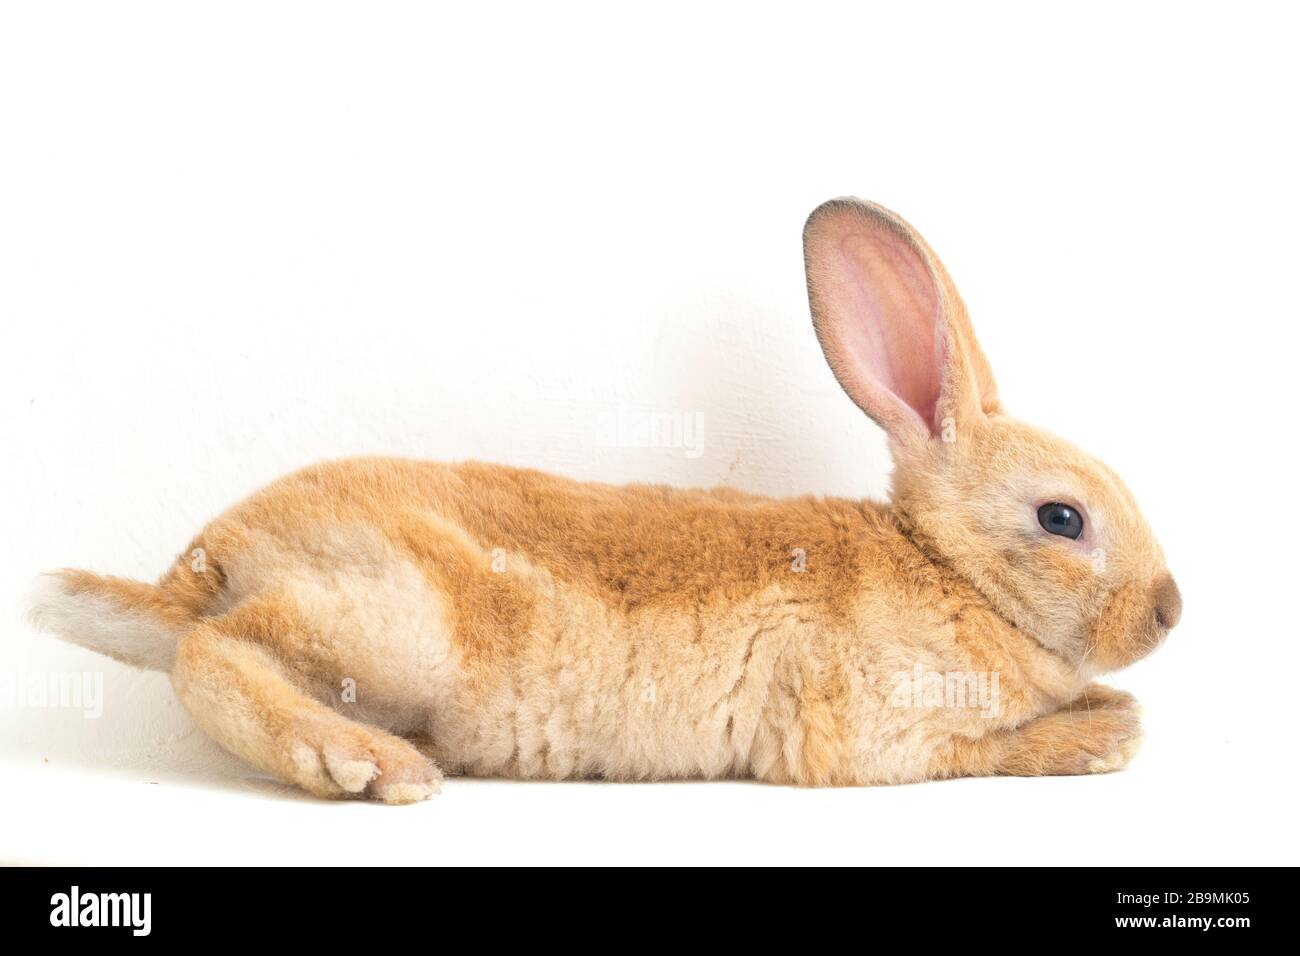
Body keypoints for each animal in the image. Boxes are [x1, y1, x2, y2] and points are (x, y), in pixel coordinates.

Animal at [28, 198, 1181, 803]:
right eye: (1063, 519)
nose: (1170, 612)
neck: (950, 569)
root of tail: (197, 569)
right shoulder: (871, 734)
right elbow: (983, 749)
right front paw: (1101, 738)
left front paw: (1114, 716)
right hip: (391, 625)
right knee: (212, 656)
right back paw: (365, 764)